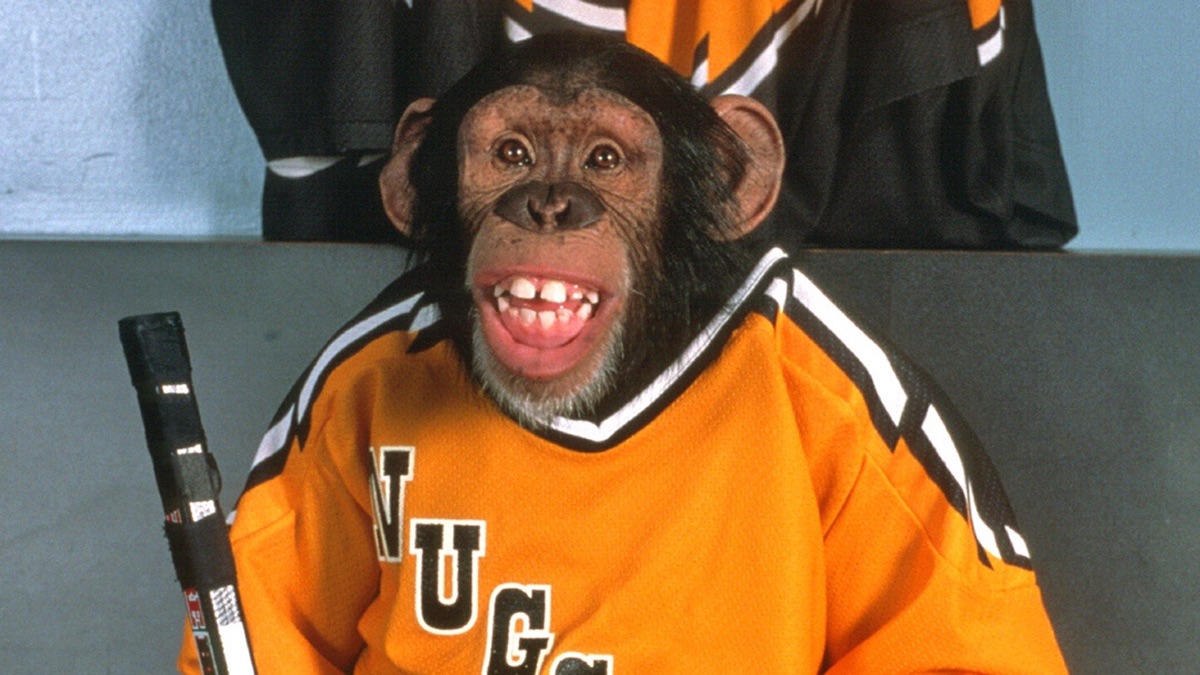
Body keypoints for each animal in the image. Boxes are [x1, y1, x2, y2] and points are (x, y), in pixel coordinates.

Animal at [181, 33, 1066, 673]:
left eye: (604, 159)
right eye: (512, 153)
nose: (548, 205)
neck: (609, 387)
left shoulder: (886, 428)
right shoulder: (327, 398)